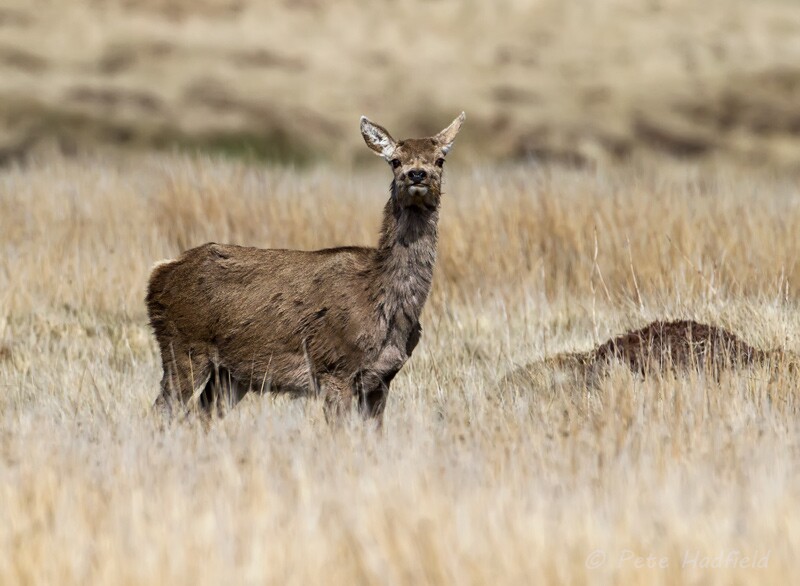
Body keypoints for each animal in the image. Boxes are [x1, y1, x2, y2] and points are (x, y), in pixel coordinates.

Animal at [146, 112, 466, 424]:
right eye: (395, 160)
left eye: (439, 159)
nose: (417, 174)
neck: (382, 294)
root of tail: (160, 272)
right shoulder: (334, 366)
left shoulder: (382, 379)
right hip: (183, 345)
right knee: (162, 408)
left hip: (230, 373)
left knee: (200, 414)